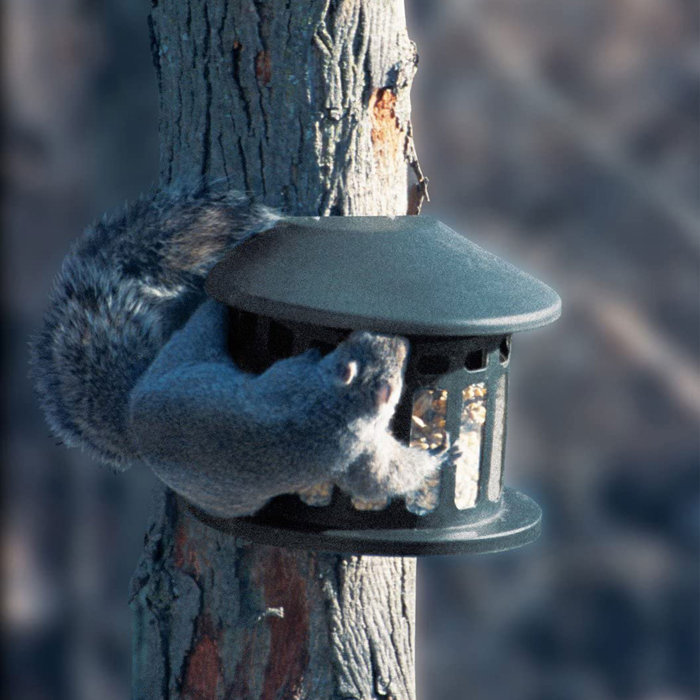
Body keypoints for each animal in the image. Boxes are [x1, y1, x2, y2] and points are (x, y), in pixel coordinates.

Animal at [31, 183, 447, 517]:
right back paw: (208, 301)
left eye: (357, 345)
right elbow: (380, 478)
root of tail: (131, 418)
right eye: (393, 367)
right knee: (203, 324)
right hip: (191, 355)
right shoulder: (356, 452)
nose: (400, 342)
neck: (334, 406)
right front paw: (440, 457)